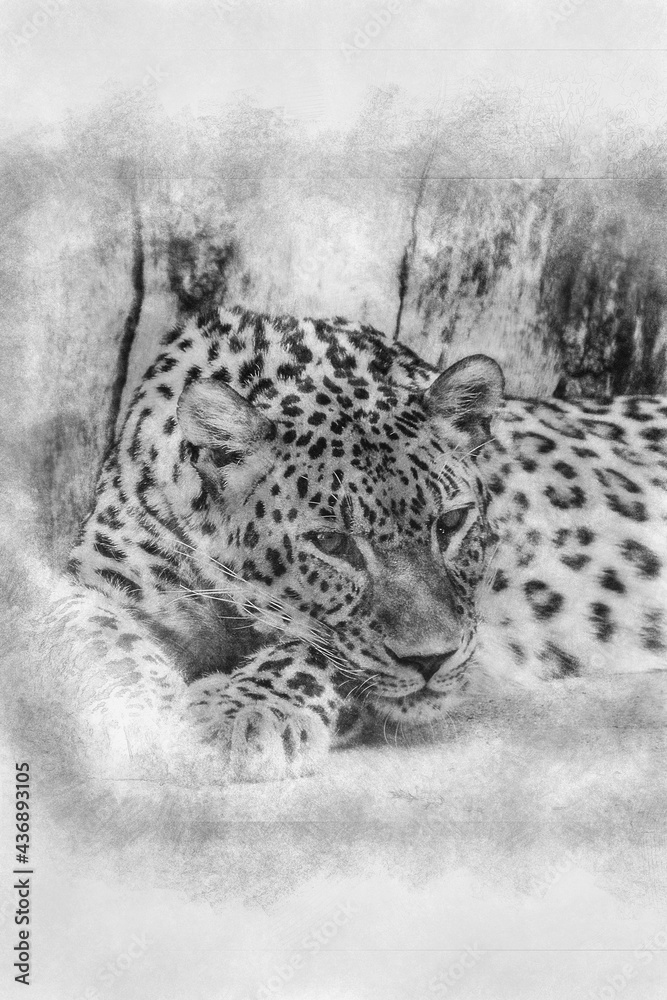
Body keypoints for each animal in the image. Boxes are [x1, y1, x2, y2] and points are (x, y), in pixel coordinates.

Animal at [52, 306, 667, 782]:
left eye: (451, 523)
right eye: (332, 541)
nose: (433, 660)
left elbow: (314, 649)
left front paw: (234, 714)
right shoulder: (101, 581)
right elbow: (93, 631)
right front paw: (145, 715)